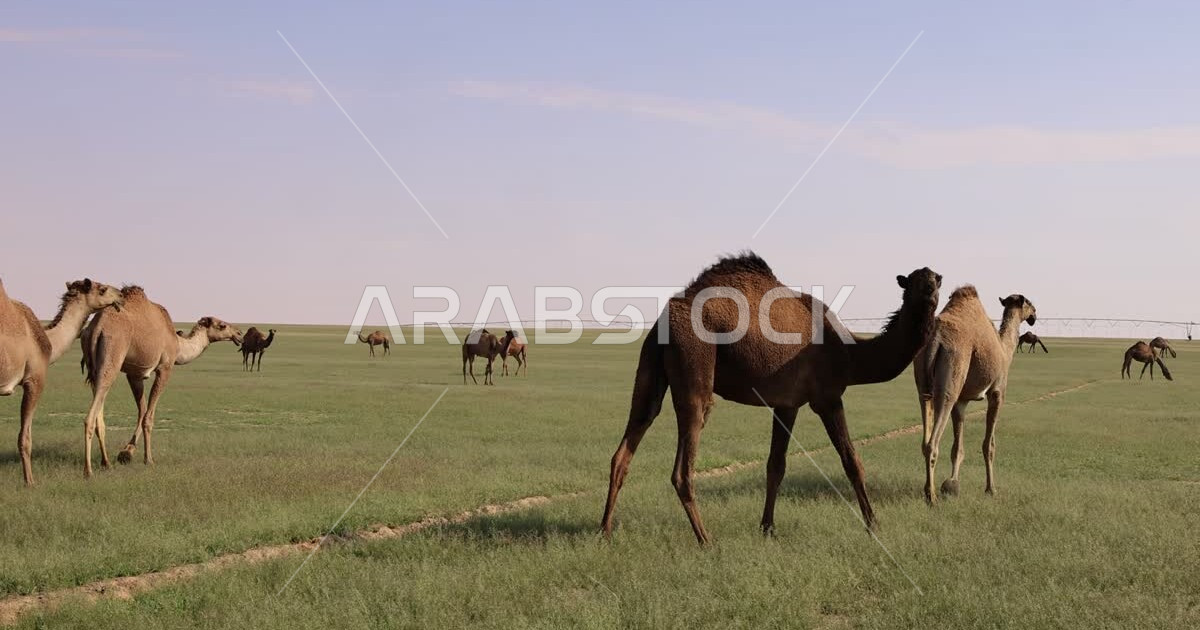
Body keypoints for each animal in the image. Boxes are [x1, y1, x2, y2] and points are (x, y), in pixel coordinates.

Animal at [79, 286, 243, 477]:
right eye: (222, 325)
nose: (239, 334)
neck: (178, 344)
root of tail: (96, 328)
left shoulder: (135, 374)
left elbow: (142, 411)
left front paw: (126, 452)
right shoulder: (165, 368)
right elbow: (148, 416)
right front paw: (148, 459)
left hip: (93, 367)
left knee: (99, 408)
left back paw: (106, 463)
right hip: (112, 355)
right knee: (92, 413)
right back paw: (88, 470)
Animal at [600, 253, 942, 544]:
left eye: (938, 278)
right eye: (913, 280)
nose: (929, 290)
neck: (850, 354)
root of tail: (664, 319)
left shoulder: (787, 403)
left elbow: (776, 465)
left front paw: (767, 528)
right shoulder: (828, 398)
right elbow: (852, 460)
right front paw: (874, 525)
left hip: (650, 367)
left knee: (630, 440)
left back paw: (604, 531)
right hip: (695, 356)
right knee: (683, 465)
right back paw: (706, 539)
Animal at [914, 288, 1037, 505]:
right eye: (1028, 302)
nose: (1034, 314)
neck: (1004, 351)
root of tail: (935, 339)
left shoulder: (962, 400)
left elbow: (957, 448)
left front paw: (952, 483)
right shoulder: (997, 391)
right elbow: (989, 445)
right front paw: (991, 489)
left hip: (923, 383)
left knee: (924, 429)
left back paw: (929, 490)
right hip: (951, 376)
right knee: (932, 442)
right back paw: (932, 496)